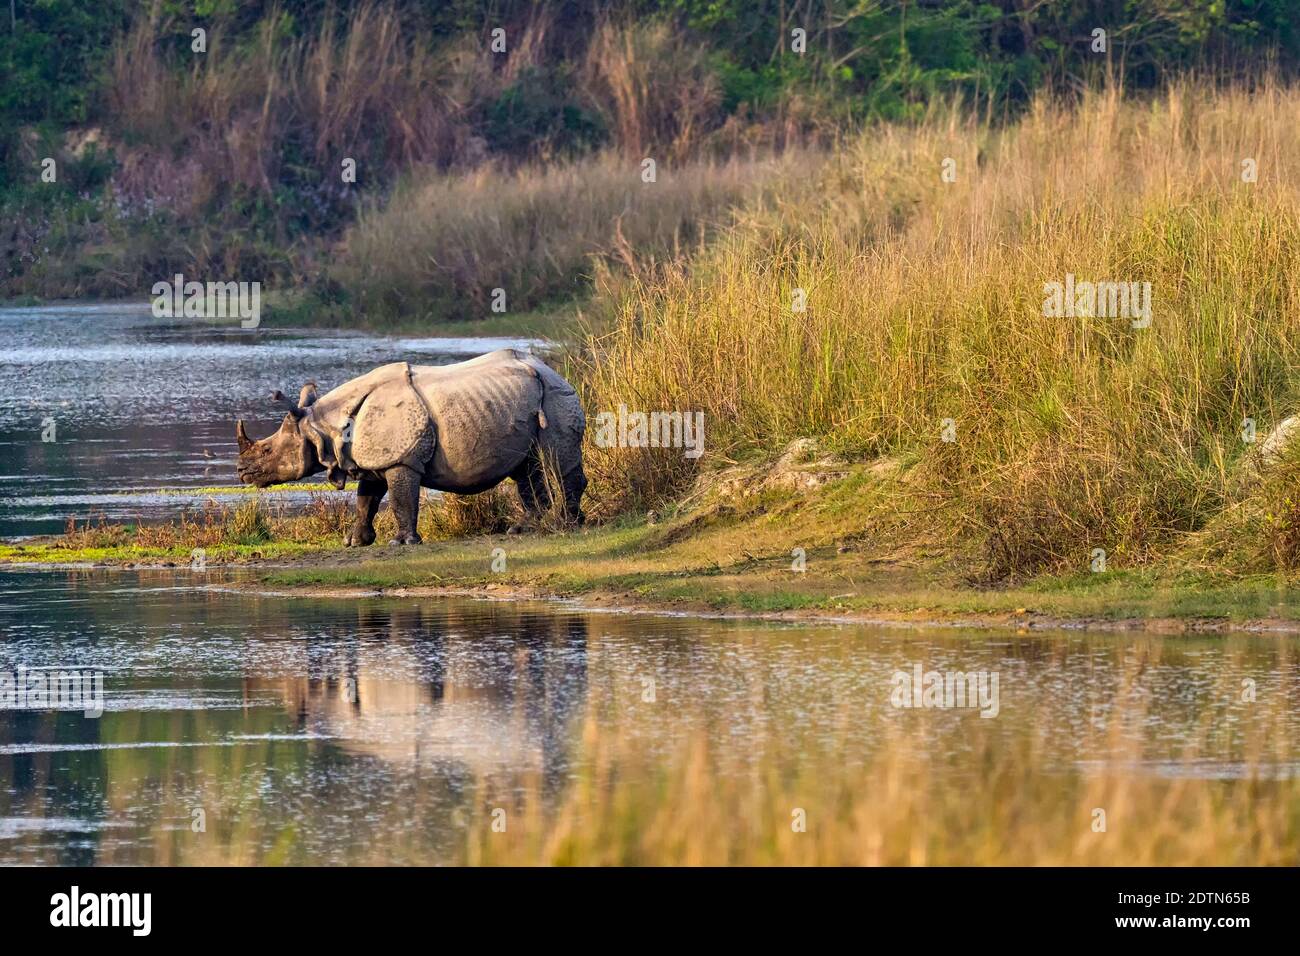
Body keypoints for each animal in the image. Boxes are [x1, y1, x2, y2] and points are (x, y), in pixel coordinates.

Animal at [235, 348, 587, 545]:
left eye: (267, 451)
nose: (241, 471)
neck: (324, 426)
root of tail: (555, 372)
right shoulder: (375, 459)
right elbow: (366, 499)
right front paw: (354, 542)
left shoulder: (400, 460)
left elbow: (402, 499)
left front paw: (402, 542)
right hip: (524, 398)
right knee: (528, 468)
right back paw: (525, 529)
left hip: (555, 396)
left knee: (555, 462)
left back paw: (569, 524)